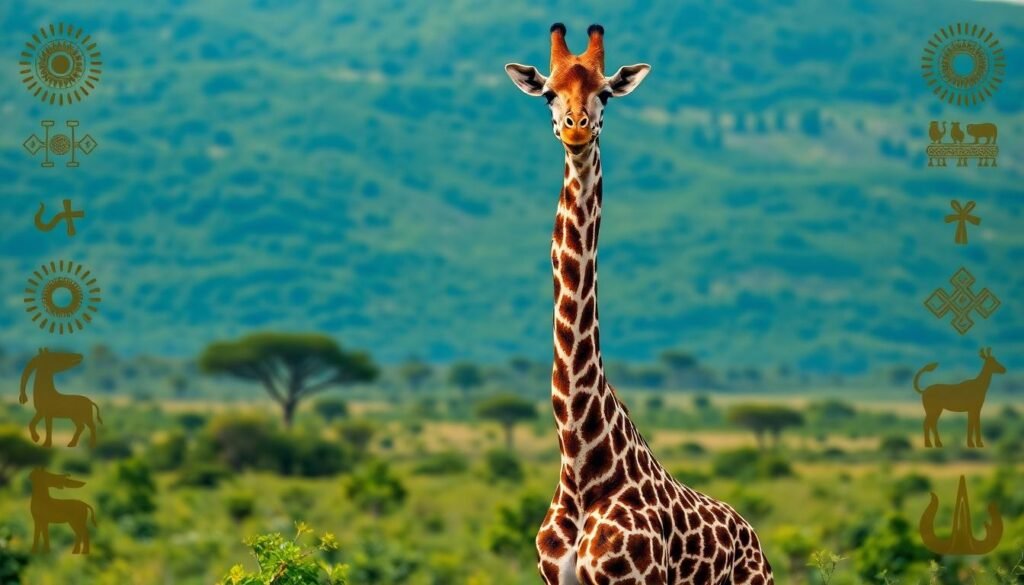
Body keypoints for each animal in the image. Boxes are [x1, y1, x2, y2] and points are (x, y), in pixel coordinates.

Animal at [505, 24, 774, 585]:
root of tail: (753, 536)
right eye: (548, 94)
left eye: (605, 92)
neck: (581, 464)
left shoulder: (634, 576)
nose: (577, 129)